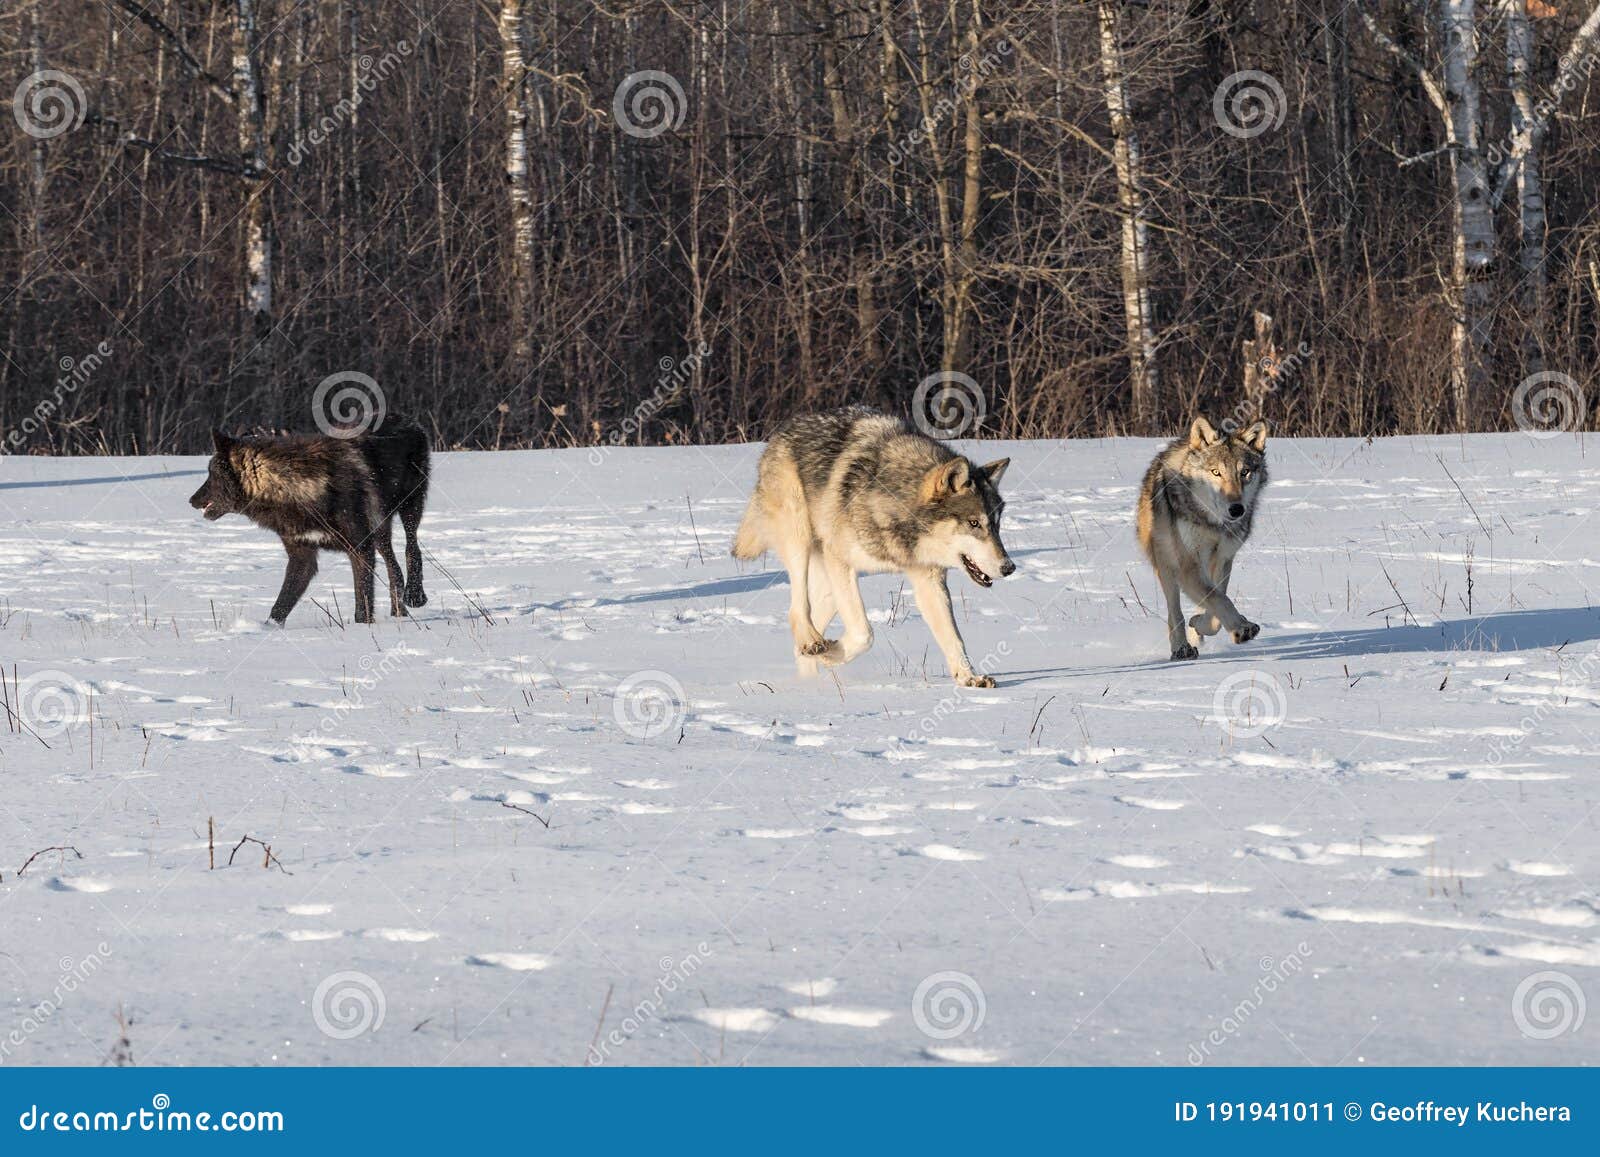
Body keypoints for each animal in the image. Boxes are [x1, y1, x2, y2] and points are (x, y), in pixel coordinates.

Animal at [189, 420, 430, 625]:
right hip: (380, 530)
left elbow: (362, 601)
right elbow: (280, 606)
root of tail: (409, 420)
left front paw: (362, 629)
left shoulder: (360, 549)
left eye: (211, 474)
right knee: (394, 567)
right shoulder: (302, 557)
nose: (191, 500)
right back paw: (399, 612)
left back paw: (414, 595)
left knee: (412, 547)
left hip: (409, 509)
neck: (296, 488)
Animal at [731, 407, 1015, 687]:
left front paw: (969, 677)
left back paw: (811, 678)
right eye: (974, 523)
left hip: (830, 588)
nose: (1009, 567)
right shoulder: (840, 560)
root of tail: (784, 430)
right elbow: (864, 633)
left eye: (996, 525)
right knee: (797, 608)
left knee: (801, 637)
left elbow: (954, 637)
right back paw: (813, 645)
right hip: (800, 538)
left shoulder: (929, 578)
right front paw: (832, 655)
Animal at [1137, 417, 1269, 660]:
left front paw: (1201, 625)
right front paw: (1241, 628)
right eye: (1216, 472)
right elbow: (1218, 599)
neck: (1213, 524)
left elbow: (1216, 605)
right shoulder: (1187, 564)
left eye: (1244, 472)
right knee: (1174, 613)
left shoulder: (1224, 559)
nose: (1237, 509)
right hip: (1167, 566)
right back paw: (1182, 648)